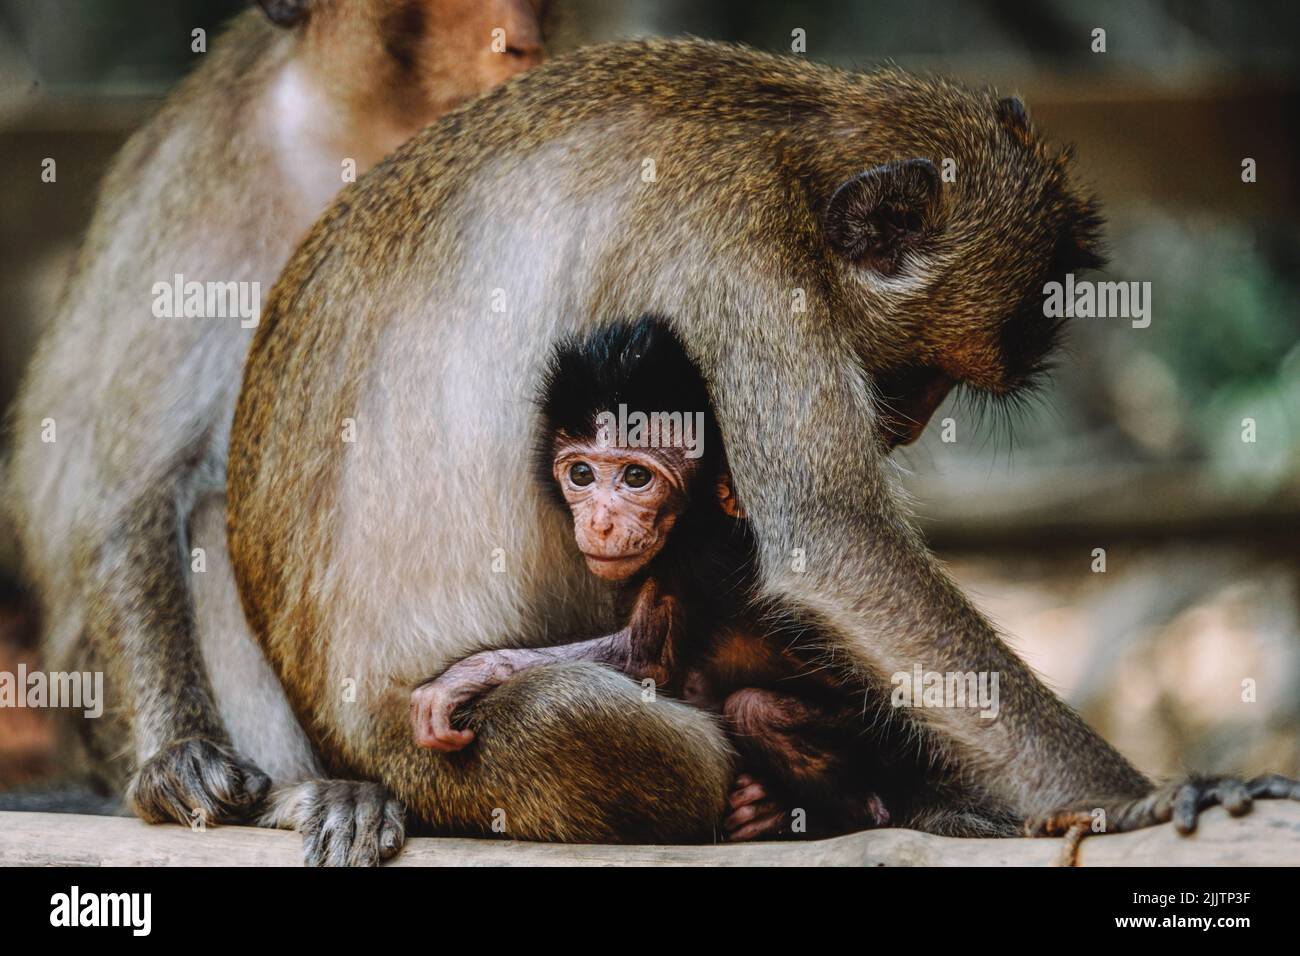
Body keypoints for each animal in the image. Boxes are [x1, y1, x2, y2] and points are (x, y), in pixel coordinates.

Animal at [6, 0, 551, 865]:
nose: (523, 38)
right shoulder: (212, 183)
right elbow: (130, 491)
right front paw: (180, 754)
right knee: (202, 519)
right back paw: (304, 796)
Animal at [410, 316, 894, 841]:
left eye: (638, 478)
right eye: (582, 474)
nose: (600, 522)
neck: (699, 517)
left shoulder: (691, 556)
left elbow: (648, 665)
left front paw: (465, 676)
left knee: (754, 709)